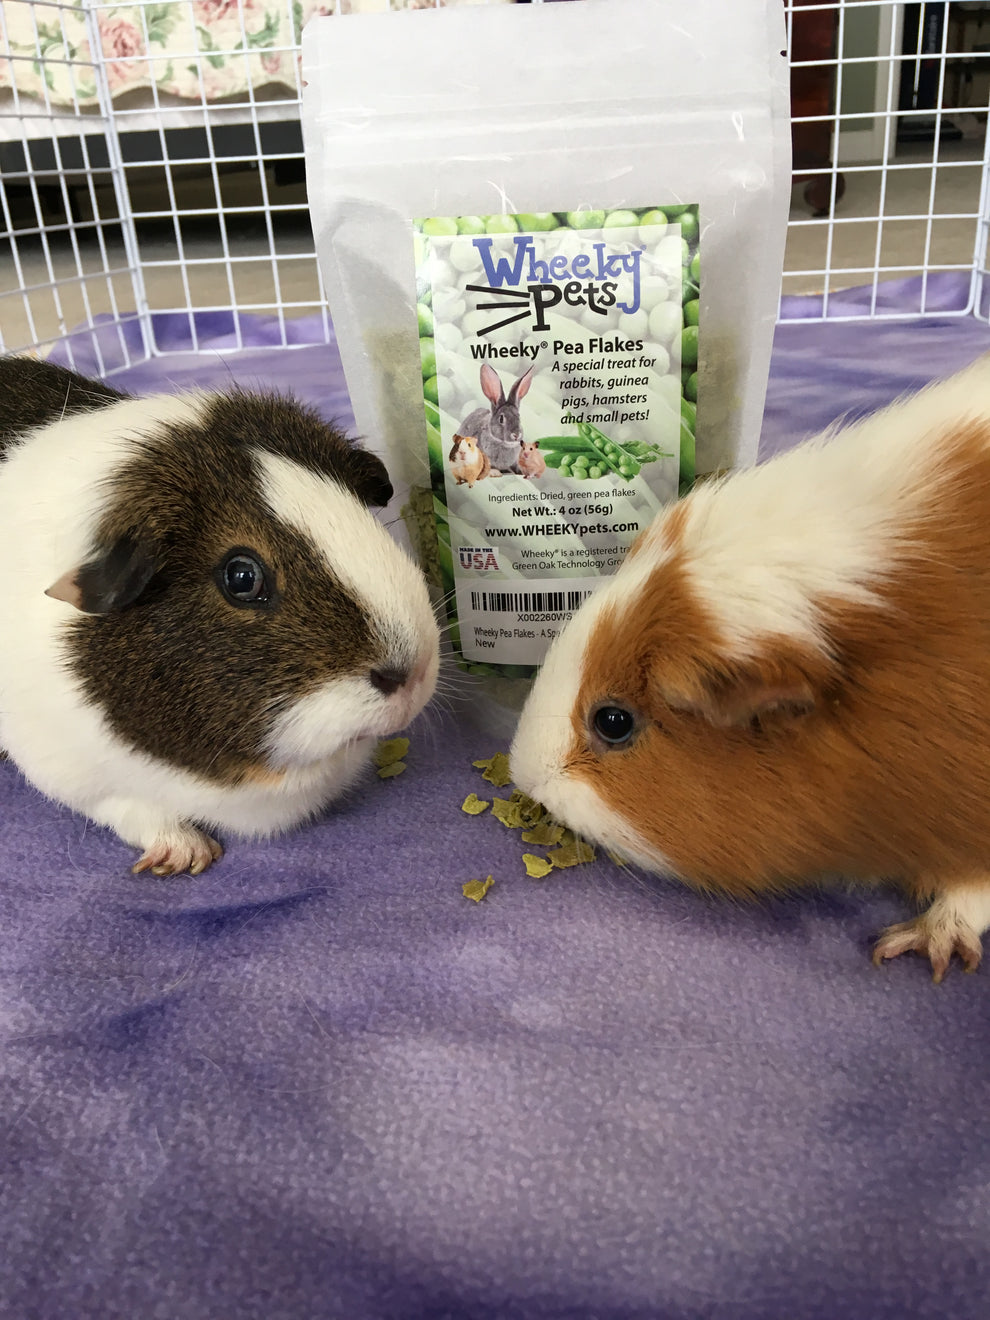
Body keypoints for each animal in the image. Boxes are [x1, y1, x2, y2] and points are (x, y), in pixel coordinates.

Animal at [0, 355, 440, 876]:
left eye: (362, 513)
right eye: (242, 577)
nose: (412, 673)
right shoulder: (61, 764)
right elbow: (128, 808)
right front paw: (189, 856)